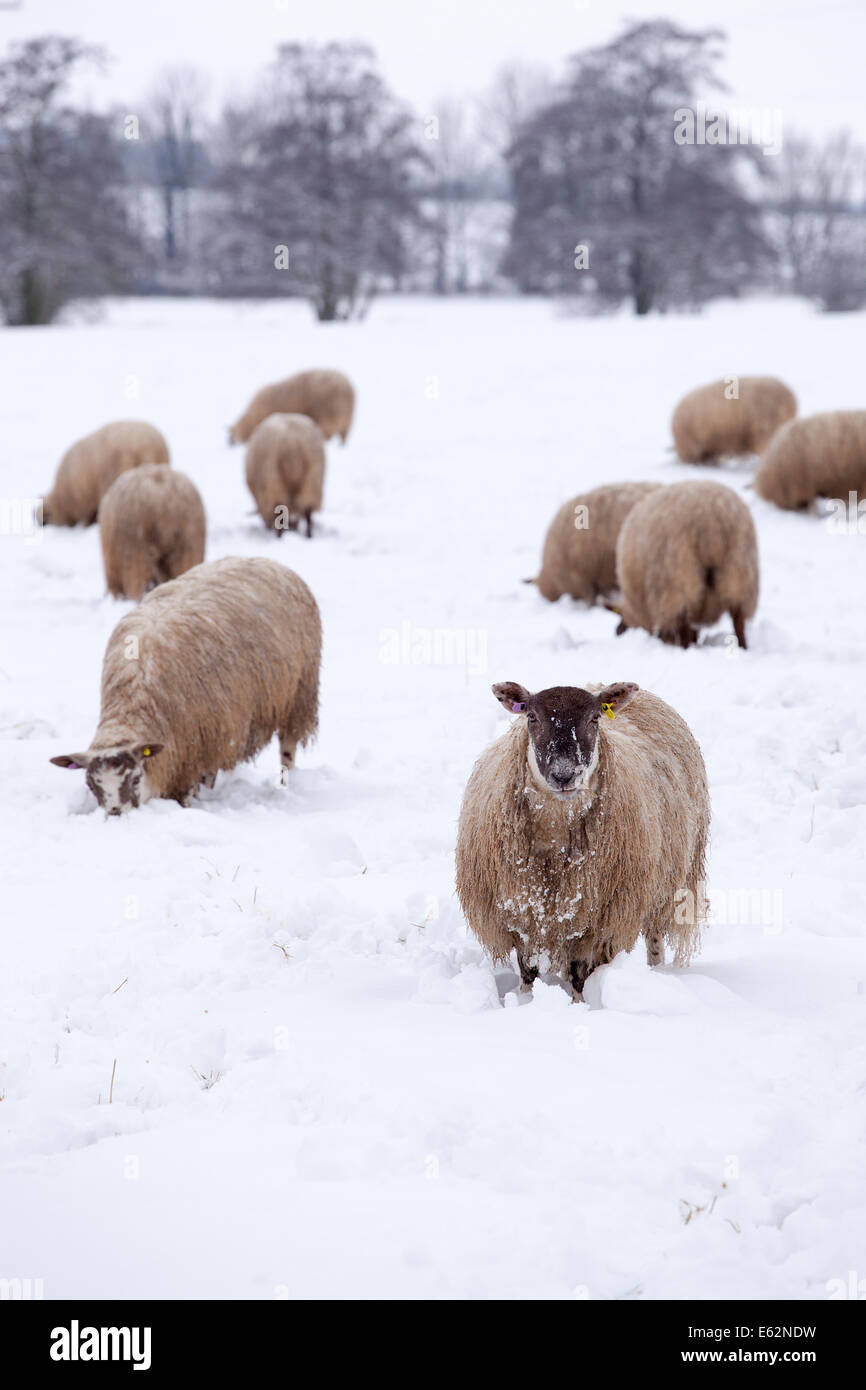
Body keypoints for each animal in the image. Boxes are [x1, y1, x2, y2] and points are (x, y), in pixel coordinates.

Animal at [50, 556, 321, 814]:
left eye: (135, 779)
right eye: (91, 785)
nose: (116, 814)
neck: (135, 697)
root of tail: (268, 561)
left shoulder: (196, 746)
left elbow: (189, 790)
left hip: (300, 694)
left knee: (287, 748)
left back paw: (285, 783)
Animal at [455, 680, 709, 999]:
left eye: (594, 719)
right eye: (531, 717)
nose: (564, 775)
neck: (554, 830)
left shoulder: (598, 918)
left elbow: (579, 972)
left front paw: (577, 1003)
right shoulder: (520, 909)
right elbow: (528, 968)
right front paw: (526, 1001)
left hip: (666, 883)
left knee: (654, 937)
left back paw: (655, 973)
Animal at [615, 479, 759, 649]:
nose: (618, 631)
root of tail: (713, 516)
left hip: (678, 573)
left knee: (682, 621)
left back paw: (685, 648)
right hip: (738, 569)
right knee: (738, 618)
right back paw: (742, 646)